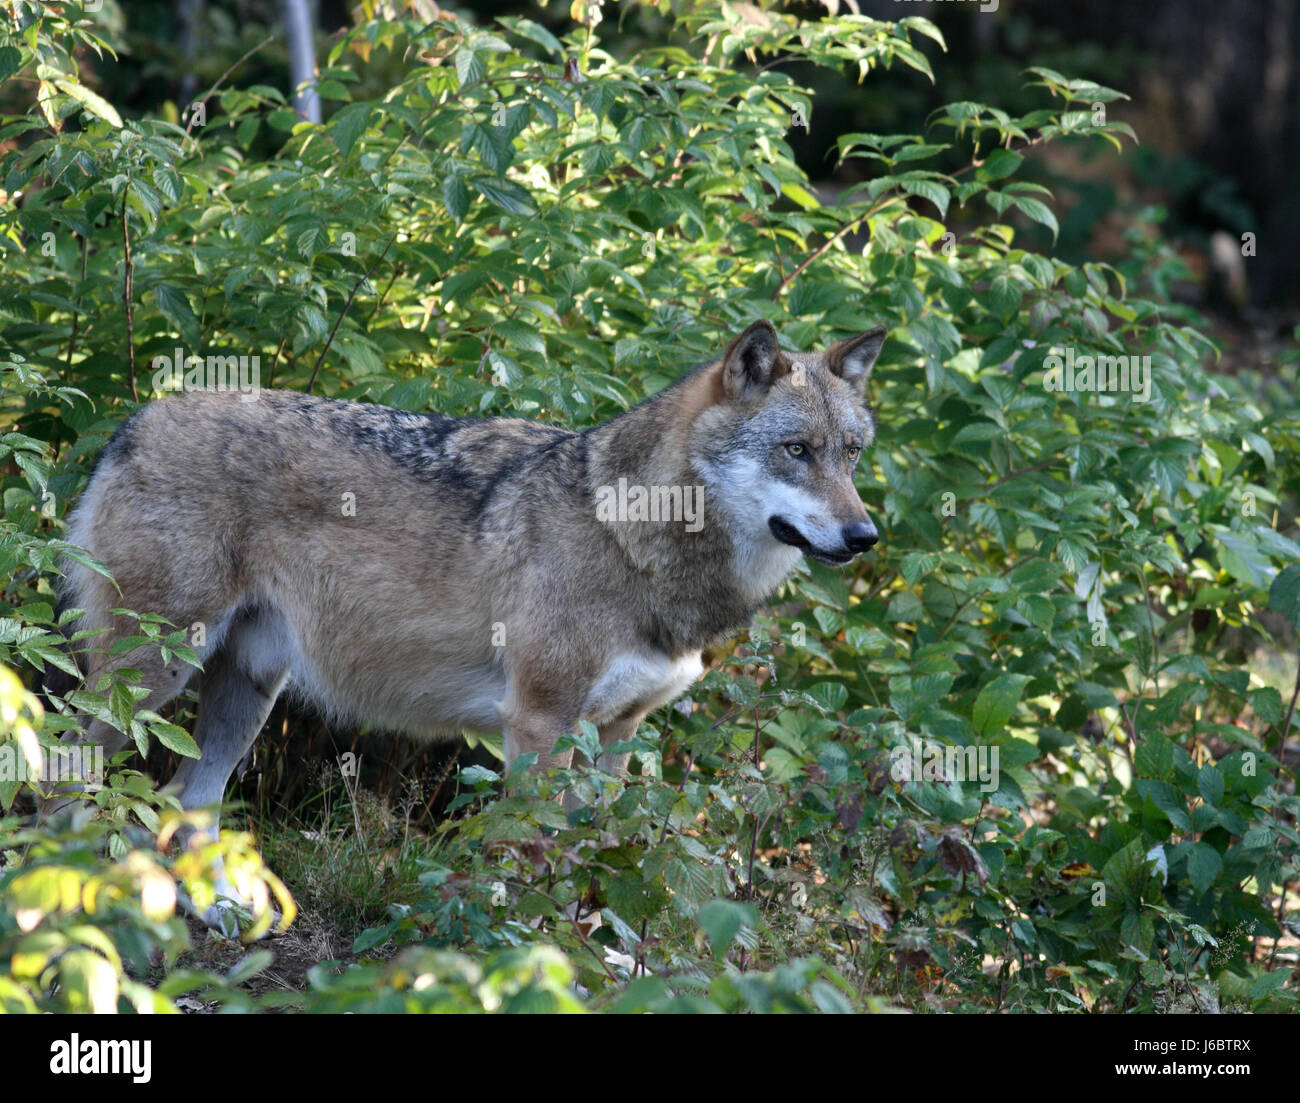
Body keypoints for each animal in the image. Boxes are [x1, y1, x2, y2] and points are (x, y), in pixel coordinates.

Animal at [47, 319, 883, 902]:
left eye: (851, 454)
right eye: (797, 450)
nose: (865, 536)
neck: (633, 537)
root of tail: (135, 420)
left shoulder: (618, 734)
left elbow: (586, 861)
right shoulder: (539, 724)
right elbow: (531, 856)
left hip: (246, 693)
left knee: (189, 806)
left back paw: (215, 911)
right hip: (153, 677)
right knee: (66, 773)